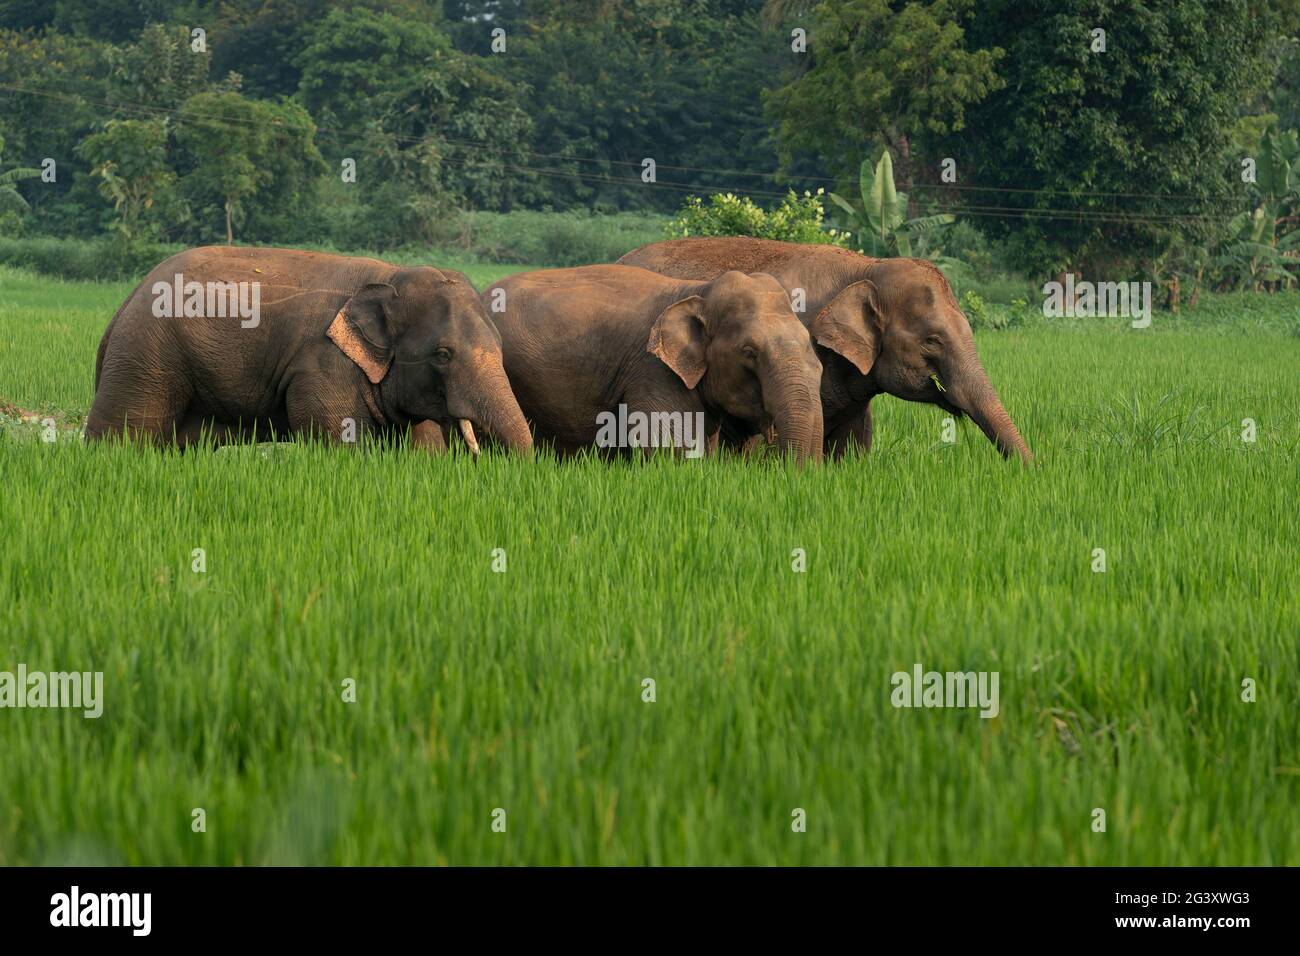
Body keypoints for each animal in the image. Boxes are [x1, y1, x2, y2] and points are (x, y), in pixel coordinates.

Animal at [86, 246, 533, 454]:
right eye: (442, 354)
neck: (389, 276)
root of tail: (124, 304)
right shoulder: (323, 365)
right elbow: (344, 447)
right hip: (145, 355)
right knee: (122, 438)